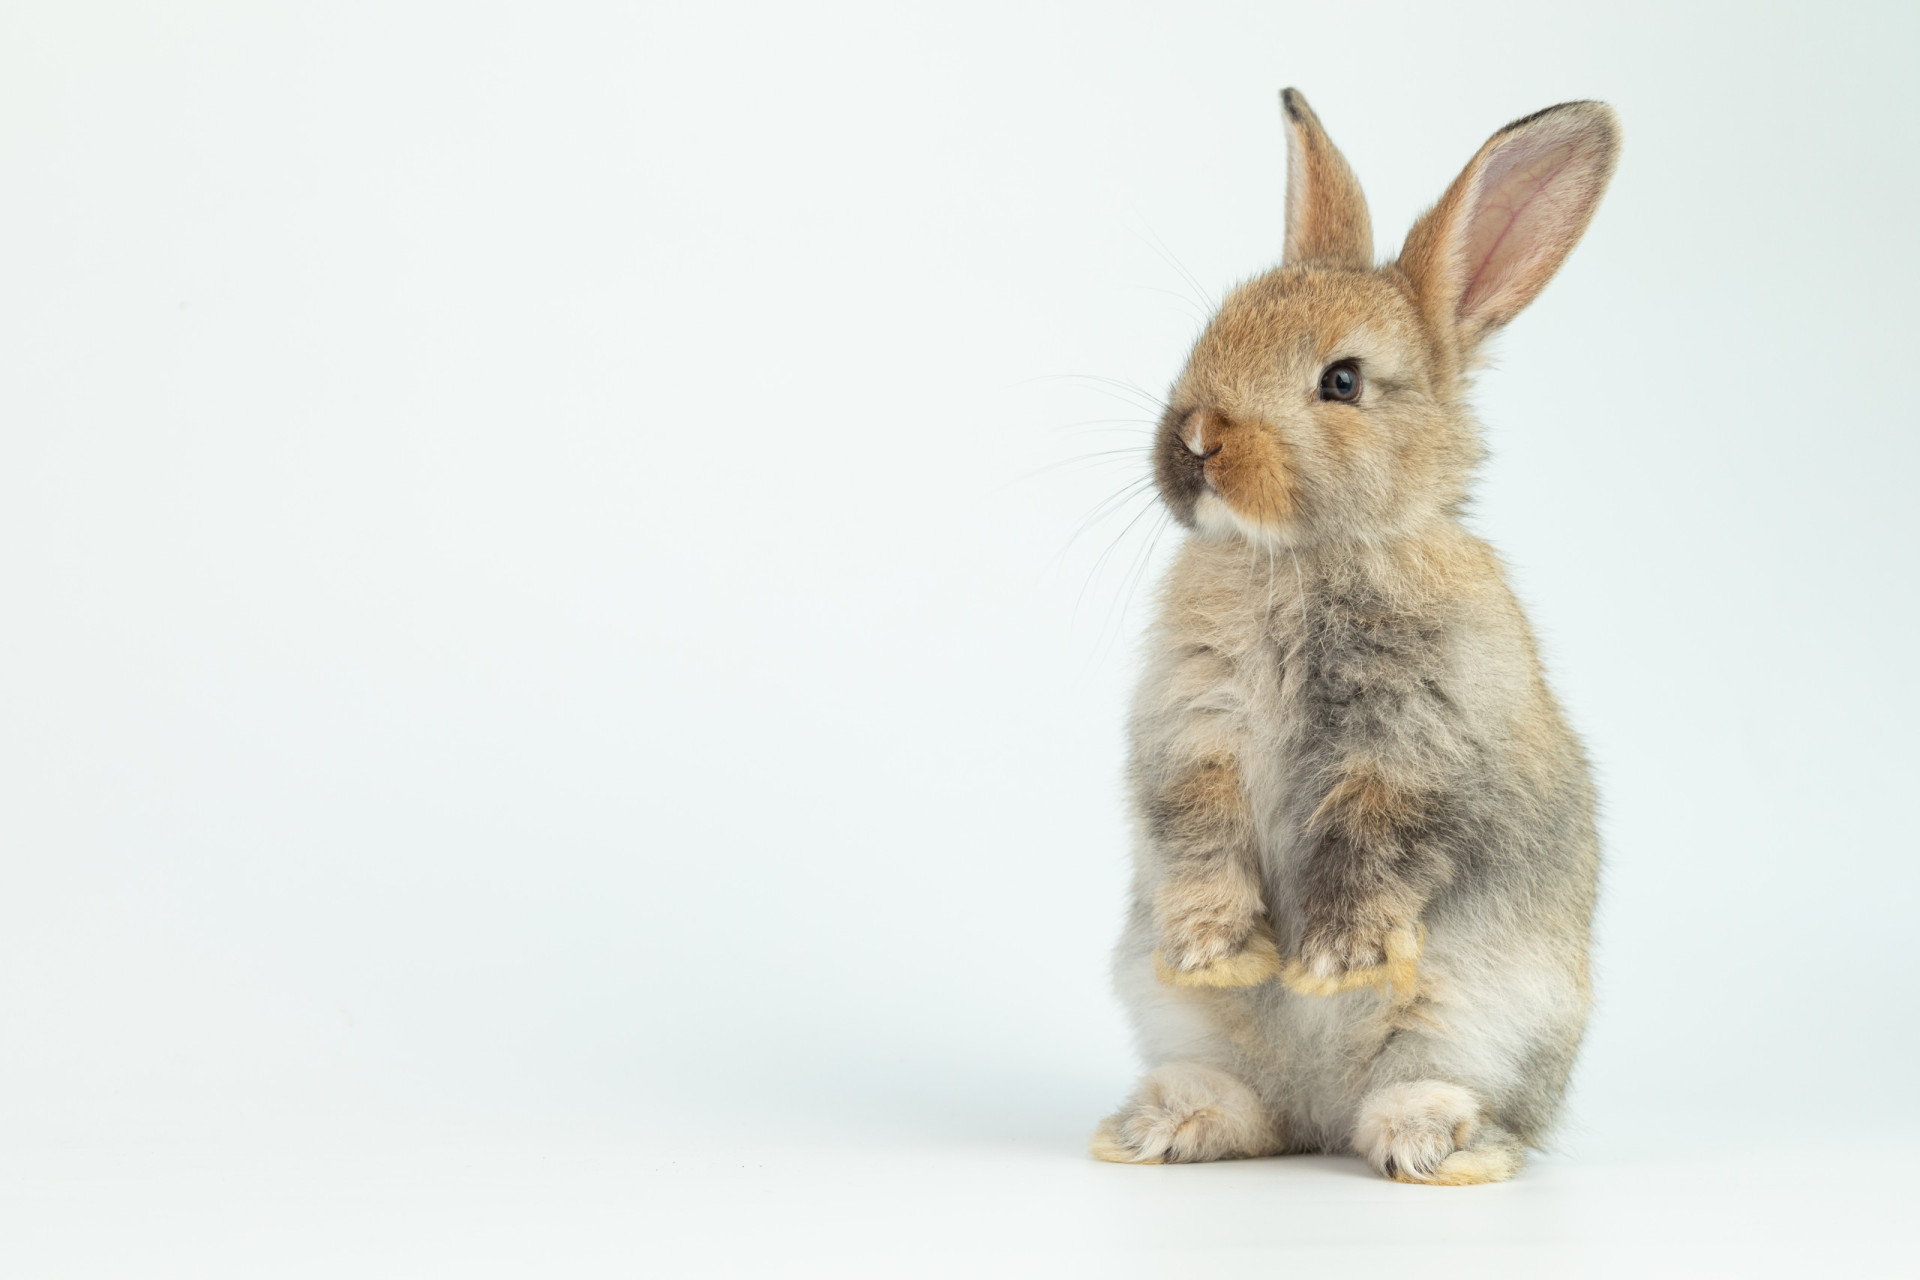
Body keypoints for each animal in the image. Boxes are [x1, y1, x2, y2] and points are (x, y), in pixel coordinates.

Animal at [1090, 90, 1619, 1185]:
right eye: (1214, 328)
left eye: (1341, 381)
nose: (1199, 437)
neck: (1303, 554)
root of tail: (1322, 1113)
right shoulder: (1192, 732)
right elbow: (1198, 834)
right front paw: (1216, 949)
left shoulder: (1412, 747)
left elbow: (1374, 852)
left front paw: (1331, 965)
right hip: (1183, 1020)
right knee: (1250, 1105)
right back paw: (1160, 1125)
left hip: (1483, 1018)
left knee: (1431, 1093)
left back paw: (1431, 1144)